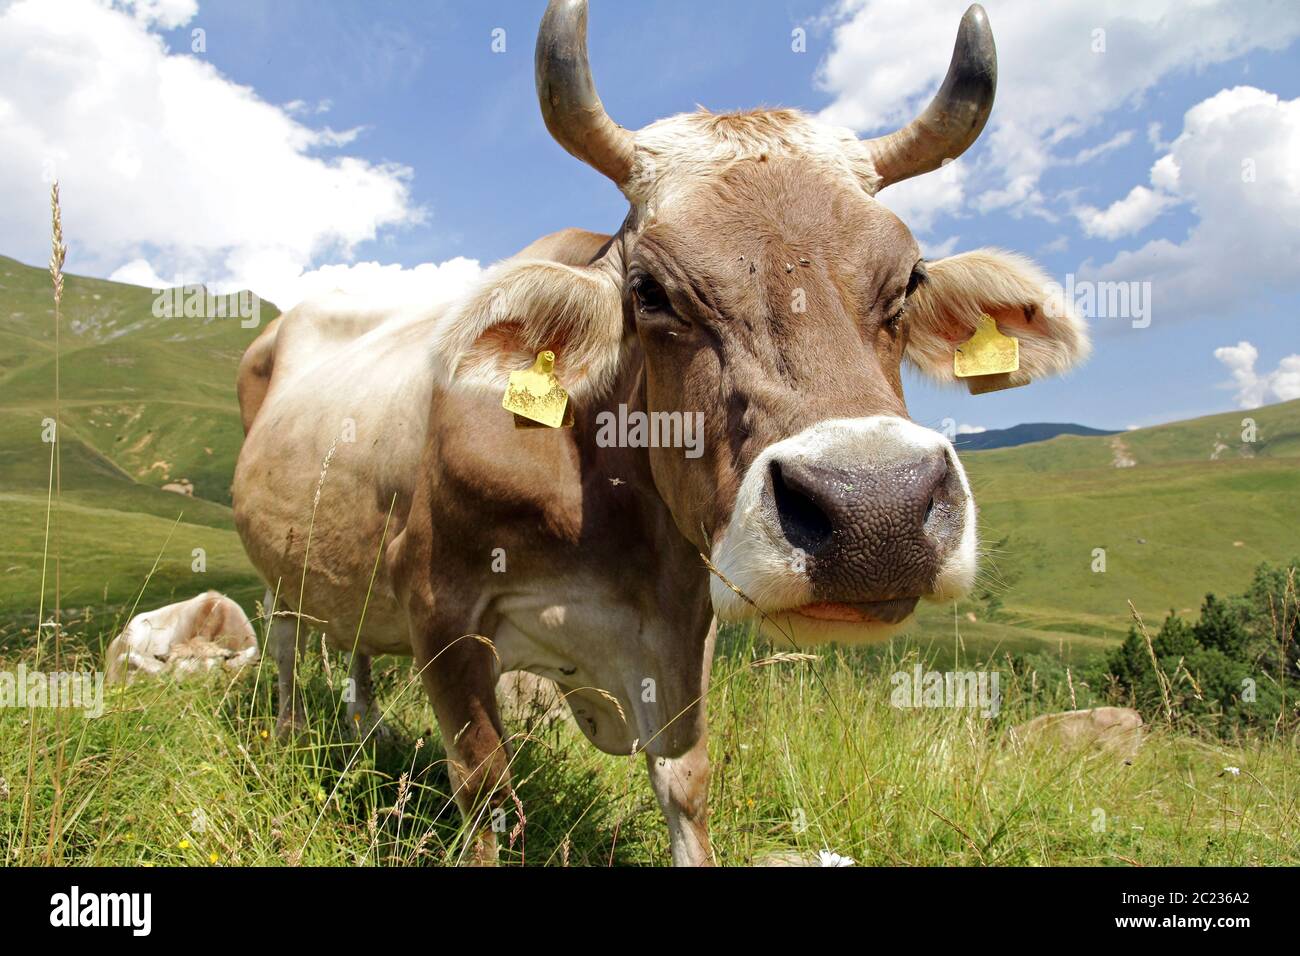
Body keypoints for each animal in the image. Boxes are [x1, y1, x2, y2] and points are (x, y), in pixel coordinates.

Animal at [231, 0, 1089, 865]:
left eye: (910, 280)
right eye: (650, 290)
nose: (873, 510)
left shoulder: (685, 624)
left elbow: (685, 783)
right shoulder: (438, 603)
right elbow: (485, 792)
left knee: (353, 642)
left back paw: (367, 727)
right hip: (281, 567)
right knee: (286, 640)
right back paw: (290, 731)